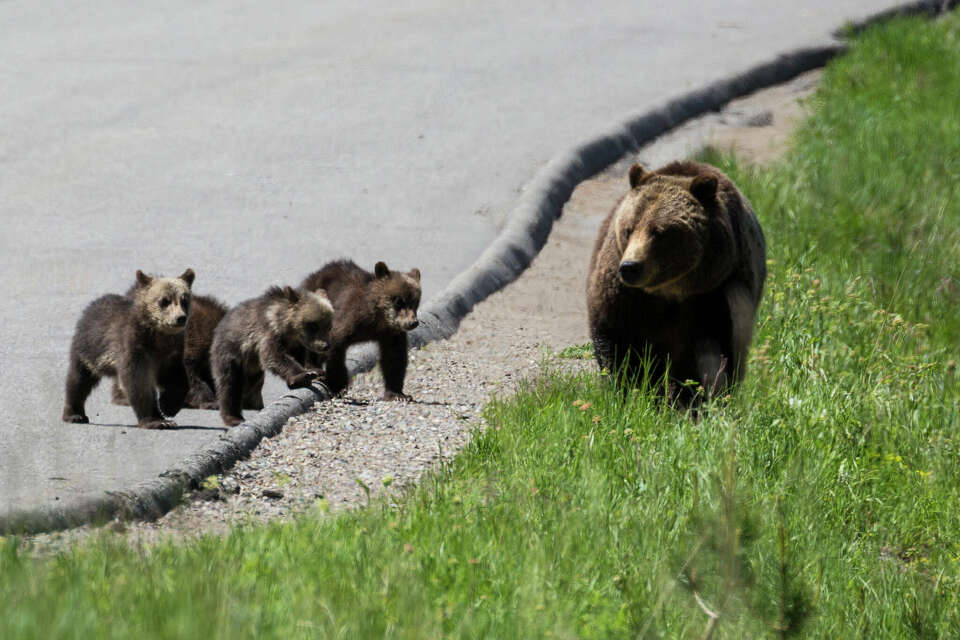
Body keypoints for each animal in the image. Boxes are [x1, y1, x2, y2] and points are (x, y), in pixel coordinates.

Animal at [62, 268, 195, 429]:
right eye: (164, 300)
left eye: (184, 300)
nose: (180, 318)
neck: (156, 336)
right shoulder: (134, 347)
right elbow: (138, 382)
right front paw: (156, 420)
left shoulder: (171, 353)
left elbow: (177, 378)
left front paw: (168, 407)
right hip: (88, 350)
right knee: (78, 380)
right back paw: (74, 415)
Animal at [211, 285, 334, 426]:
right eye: (313, 325)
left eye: (328, 326)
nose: (325, 346)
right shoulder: (267, 332)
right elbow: (274, 356)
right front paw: (303, 375)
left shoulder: (296, 345)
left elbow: (297, 357)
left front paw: (315, 372)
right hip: (230, 354)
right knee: (229, 384)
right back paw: (234, 417)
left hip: (251, 366)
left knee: (253, 383)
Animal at [300, 260, 421, 402]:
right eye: (399, 301)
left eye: (415, 301)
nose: (413, 322)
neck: (377, 319)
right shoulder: (347, 319)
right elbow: (335, 350)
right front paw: (337, 385)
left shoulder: (390, 334)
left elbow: (394, 358)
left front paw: (397, 394)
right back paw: (314, 368)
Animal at [586, 160, 766, 402]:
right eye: (629, 228)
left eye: (659, 232)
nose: (631, 267)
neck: (671, 291)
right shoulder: (624, 294)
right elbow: (616, 341)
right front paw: (629, 391)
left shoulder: (715, 294)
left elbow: (712, 355)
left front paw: (698, 397)